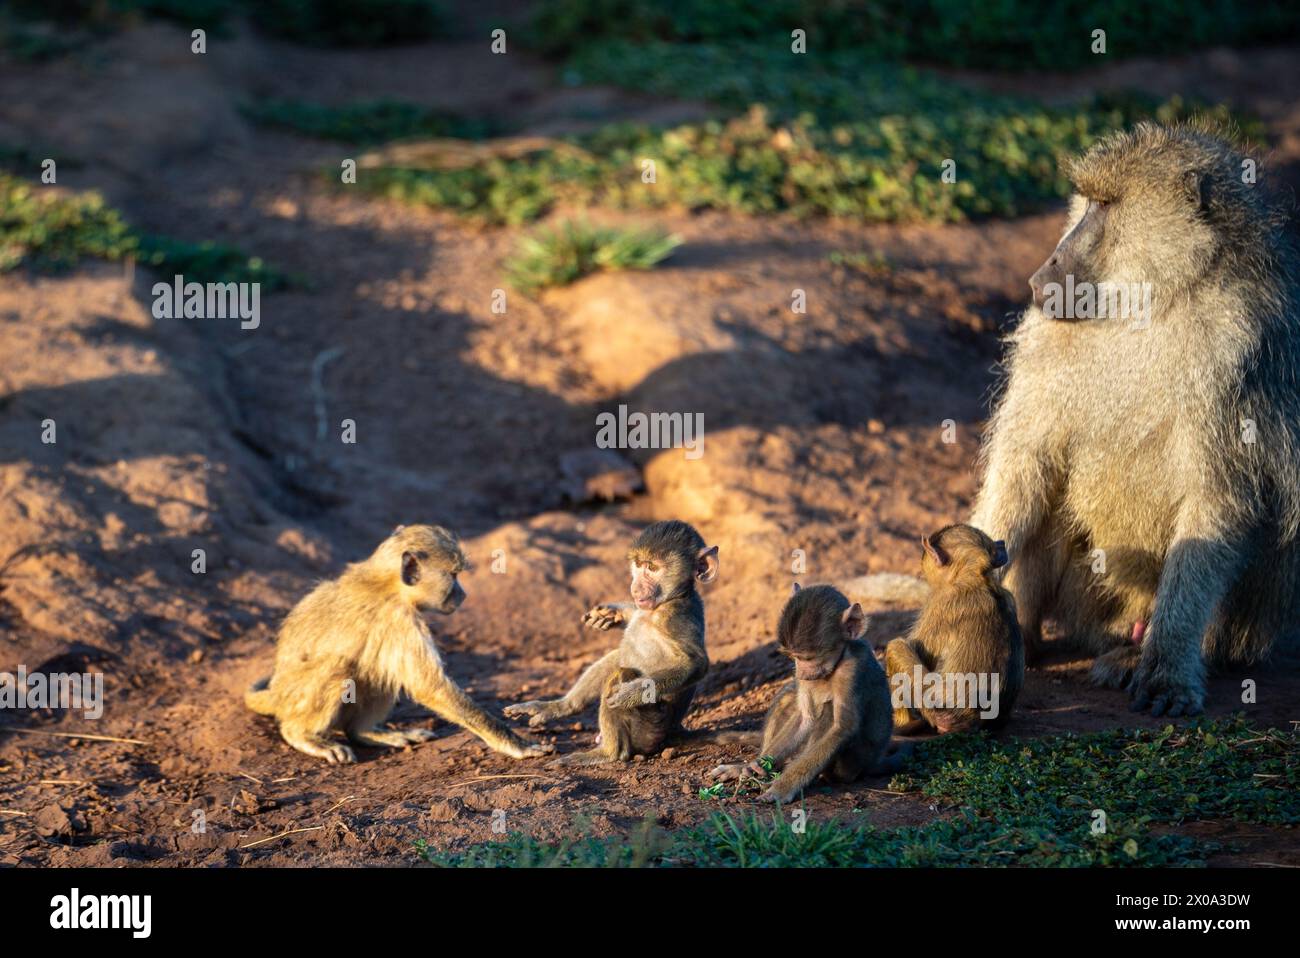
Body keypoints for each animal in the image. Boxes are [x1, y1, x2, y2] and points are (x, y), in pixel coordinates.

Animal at [244, 524, 552, 764]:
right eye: (453, 576)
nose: (463, 595)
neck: (386, 583)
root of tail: (276, 692)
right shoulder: (400, 620)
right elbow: (431, 687)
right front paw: (516, 744)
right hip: (296, 699)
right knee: (338, 672)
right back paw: (302, 735)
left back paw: (365, 731)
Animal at [504, 520, 715, 765]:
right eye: (639, 565)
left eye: (652, 568)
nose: (636, 588)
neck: (668, 602)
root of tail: (672, 731)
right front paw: (612, 614)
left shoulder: (676, 617)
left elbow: (696, 663)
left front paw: (628, 695)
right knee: (617, 658)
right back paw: (560, 707)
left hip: (650, 726)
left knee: (620, 674)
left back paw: (606, 754)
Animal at [708, 584, 902, 804]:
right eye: (793, 657)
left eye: (808, 658)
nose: (800, 672)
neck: (834, 665)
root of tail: (871, 764)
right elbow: (805, 718)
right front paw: (750, 767)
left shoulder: (852, 668)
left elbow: (841, 728)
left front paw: (782, 787)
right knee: (788, 696)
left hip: (852, 765)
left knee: (828, 712)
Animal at [883, 524, 1023, 734]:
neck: (978, 578)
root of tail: (973, 720)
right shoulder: (1009, 597)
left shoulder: (939, 603)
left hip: (932, 704)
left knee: (896, 646)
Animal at [970, 120, 1300, 717]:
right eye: (1087, 201)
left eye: (1107, 206)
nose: (1045, 270)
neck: (1148, 306)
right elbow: (1024, 468)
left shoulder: (1240, 354)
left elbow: (1219, 503)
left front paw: (1168, 673)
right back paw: (1022, 638)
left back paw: (1142, 655)